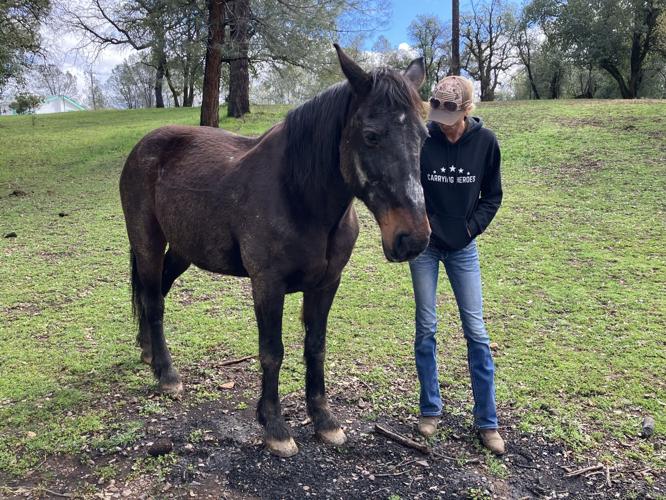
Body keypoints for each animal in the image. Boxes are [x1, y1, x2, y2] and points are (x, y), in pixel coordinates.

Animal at [119, 44, 431, 457]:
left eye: (424, 136)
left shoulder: (327, 284)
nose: (413, 237)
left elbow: (315, 346)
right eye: (371, 135)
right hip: (148, 243)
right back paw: (167, 374)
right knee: (153, 301)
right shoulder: (267, 284)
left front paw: (324, 420)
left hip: (182, 250)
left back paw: (148, 352)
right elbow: (272, 351)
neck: (298, 194)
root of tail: (143, 145)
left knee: (154, 292)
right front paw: (274, 425)